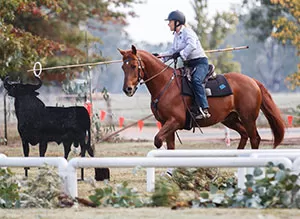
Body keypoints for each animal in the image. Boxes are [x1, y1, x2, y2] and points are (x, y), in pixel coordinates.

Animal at [118, 45, 284, 150]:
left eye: (133, 66)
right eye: (123, 67)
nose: (127, 89)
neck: (165, 83)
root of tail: (253, 81)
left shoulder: (175, 121)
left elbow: (158, 141)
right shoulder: (166, 123)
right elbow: (169, 146)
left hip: (248, 118)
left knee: (254, 138)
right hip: (230, 118)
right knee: (244, 135)